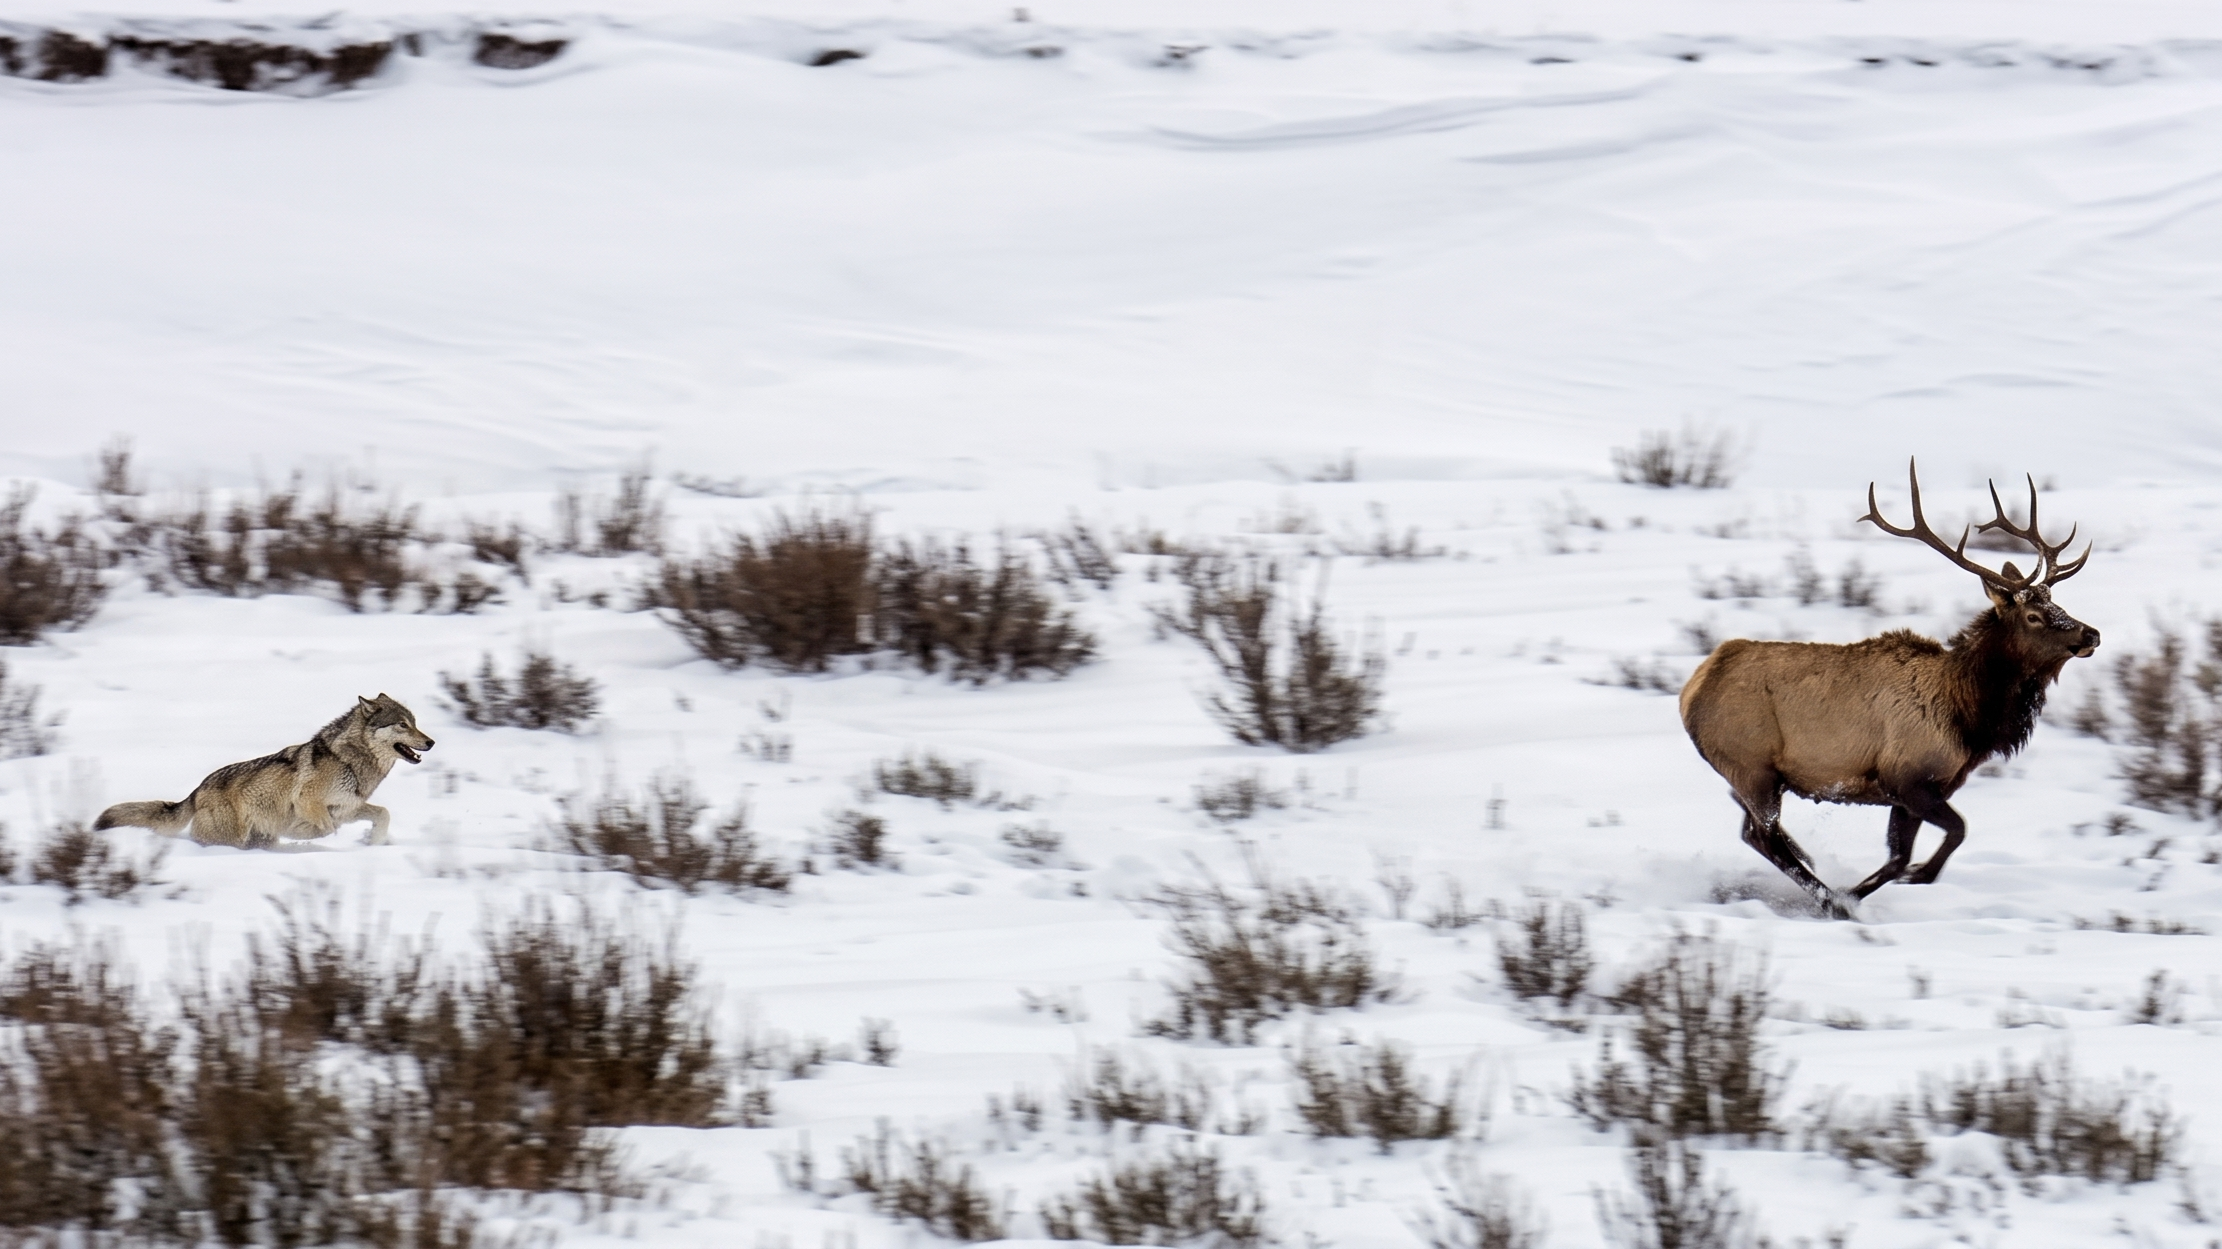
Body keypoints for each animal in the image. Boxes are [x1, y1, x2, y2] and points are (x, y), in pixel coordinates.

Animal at [96, 694, 434, 848]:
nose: (430, 742)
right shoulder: (310, 803)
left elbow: (382, 814)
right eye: (402, 724)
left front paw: (374, 841)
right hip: (231, 837)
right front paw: (302, 837)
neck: (350, 760)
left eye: (415, 723)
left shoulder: (346, 808)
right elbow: (325, 830)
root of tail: (197, 789)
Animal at [1678, 460, 2100, 919]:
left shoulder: (1914, 793)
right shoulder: (1908, 778)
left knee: (1751, 827)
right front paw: (1889, 884)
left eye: (2058, 603)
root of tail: (1691, 690)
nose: (2091, 633)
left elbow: (1899, 856)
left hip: (1757, 776)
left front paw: (1866, 889)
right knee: (1761, 835)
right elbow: (1955, 831)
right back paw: (1827, 897)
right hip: (1752, 765)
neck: (1970, 719)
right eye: (2033, 616)